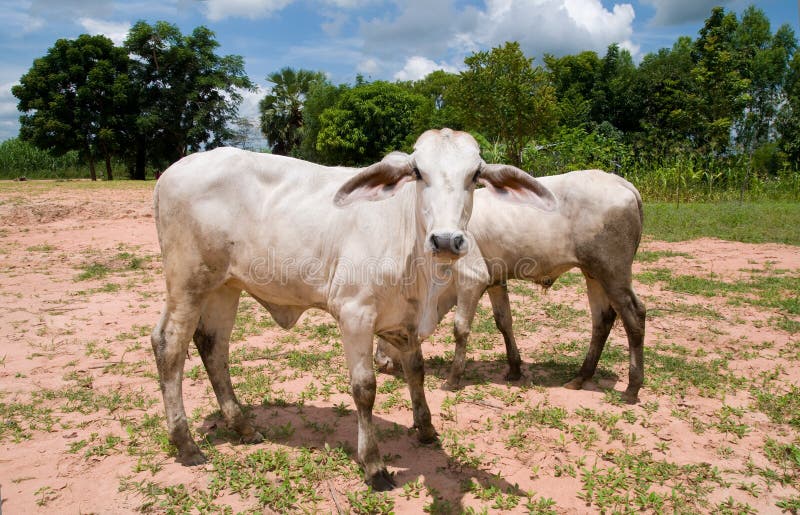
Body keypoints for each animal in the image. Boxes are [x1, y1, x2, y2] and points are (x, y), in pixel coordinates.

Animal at [150, 129, 557, 490]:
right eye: (418, 172)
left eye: (474, 175)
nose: (445, 240)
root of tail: (172, 170)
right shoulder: (354, 314)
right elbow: (365, 389)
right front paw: (374, 465)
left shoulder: (405, 321)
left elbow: (416, 371)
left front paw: (425, 429)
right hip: (188, 281)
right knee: (168, 345)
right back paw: (185, 442)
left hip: (224, 287)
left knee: (212, 346)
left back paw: (243, 427)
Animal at [375, 169, 646, 404]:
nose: (380, 362)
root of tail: (620, 182)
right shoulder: (496, 281)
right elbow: (504, 322)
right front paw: (515, 369)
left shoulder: (472, 279)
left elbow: (460, 328)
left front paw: (453, 378)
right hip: (593, 274)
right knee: (602, 320)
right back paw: (581, 377)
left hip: (613, 273)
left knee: (635, 316)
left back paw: (632, 388)